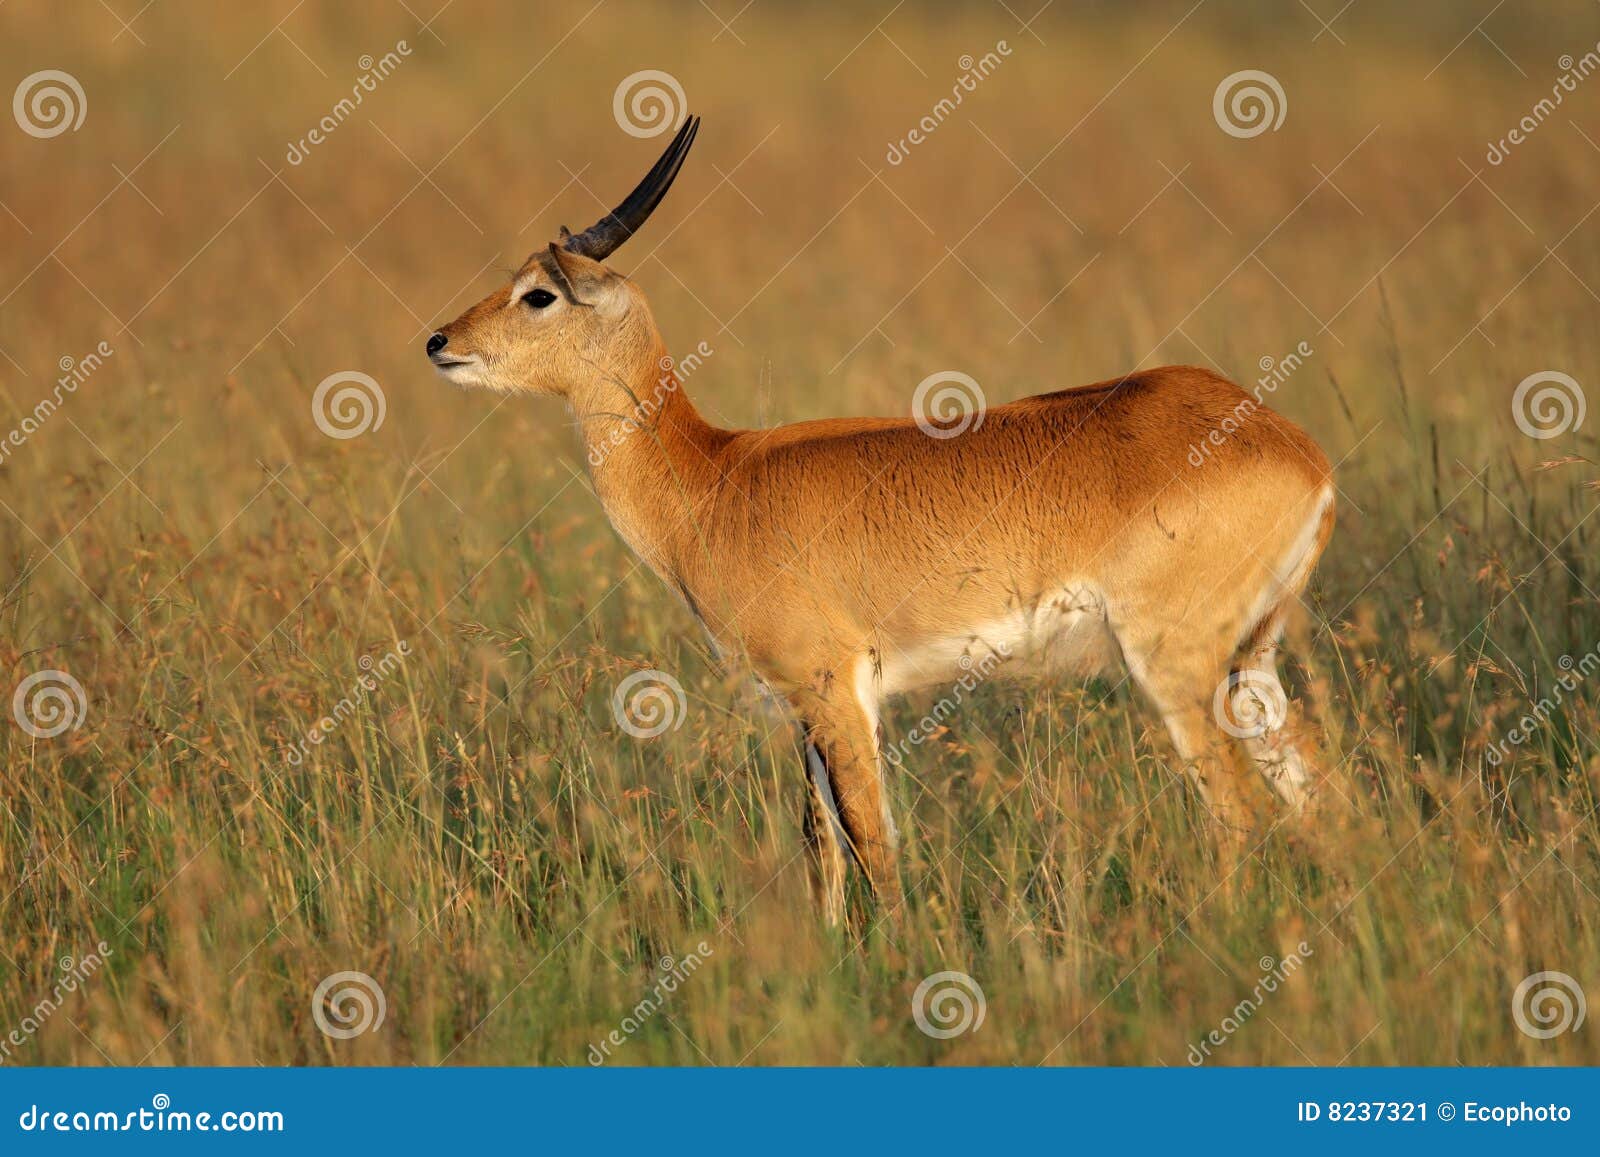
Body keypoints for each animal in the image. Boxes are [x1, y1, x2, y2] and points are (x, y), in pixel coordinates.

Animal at [426, 117, 1336, 920]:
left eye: (538, 293)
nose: (438, 341)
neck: (712, 478)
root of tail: (1298, 450)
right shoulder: (800, 710)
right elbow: (822, 849)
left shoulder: (834, 688)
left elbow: (872, 843)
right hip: (1250, 666)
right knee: (1321, 796)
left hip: (1172, 664)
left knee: (1240, 812)